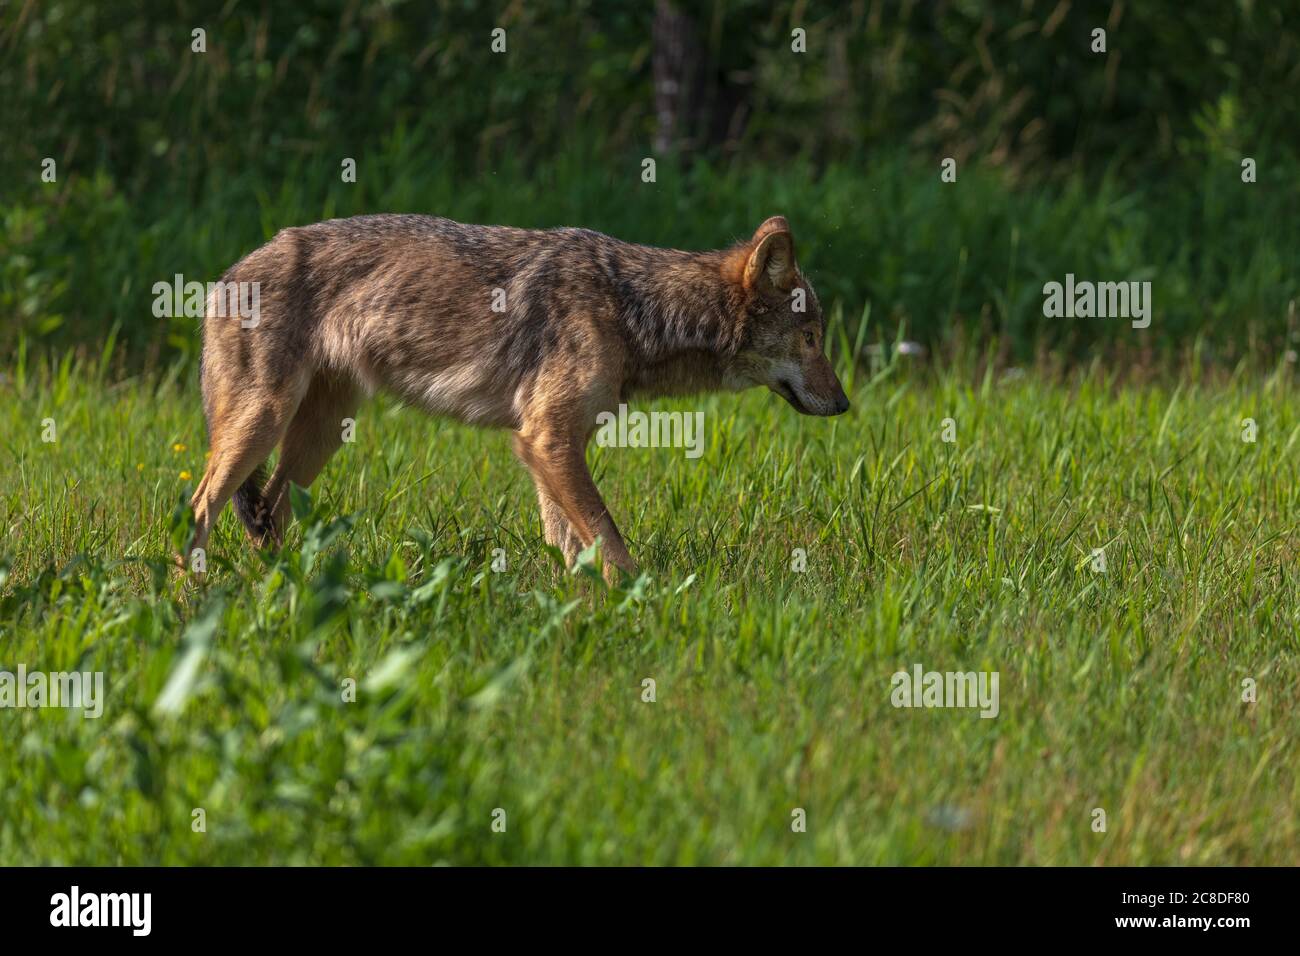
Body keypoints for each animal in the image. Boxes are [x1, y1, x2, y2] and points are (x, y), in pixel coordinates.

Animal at [188, 214, 849, 581]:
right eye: (811, 339)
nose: (845, 406)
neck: (632, 309)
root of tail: (223, 276)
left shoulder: (547, 448)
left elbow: (571, 545)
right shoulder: (548, 441)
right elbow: (611, 542)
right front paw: (644, 600)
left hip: (320, 434)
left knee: (267, 514)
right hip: (263, 424)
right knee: (200, 506)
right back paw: (189, 600)